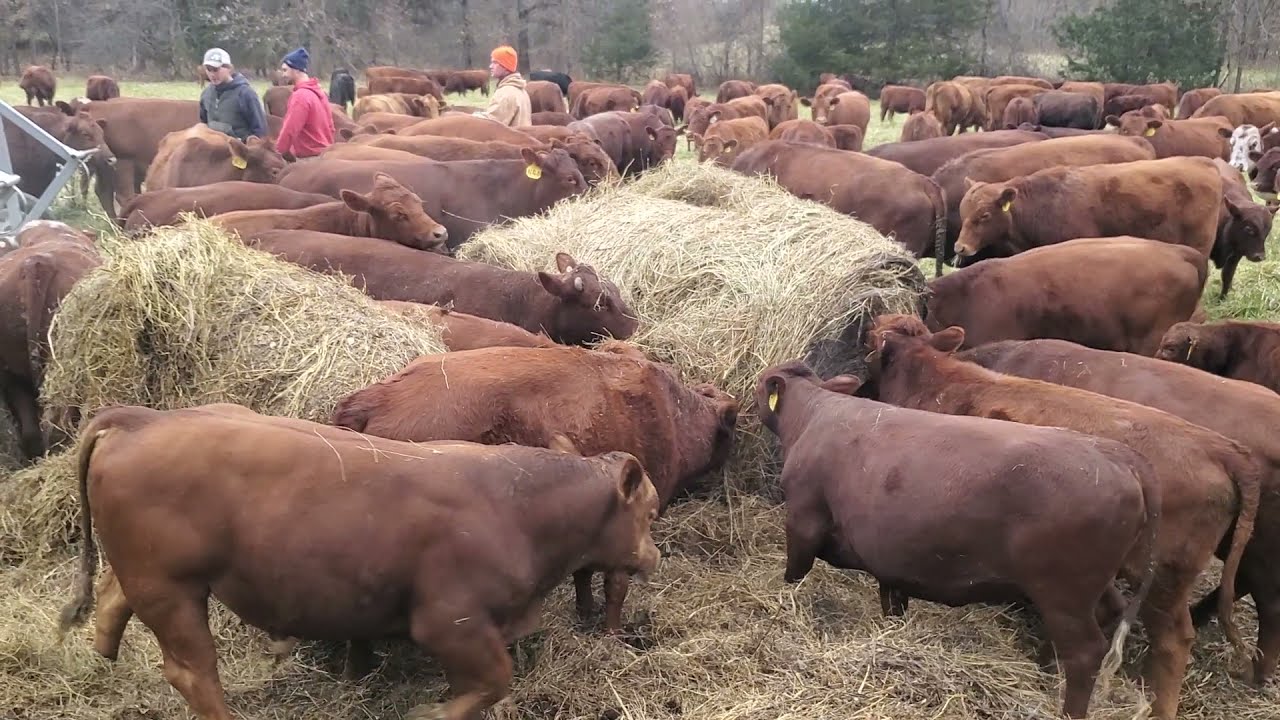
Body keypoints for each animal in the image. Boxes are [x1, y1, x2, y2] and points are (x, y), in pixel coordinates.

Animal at [60, 403, 661, 720]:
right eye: (651, 509)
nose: (653, 555)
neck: (514, 502)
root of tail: (142, 418)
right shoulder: (451, 620)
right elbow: (494, 679)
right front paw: (431, 712)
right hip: (172, 588)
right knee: (193, 671)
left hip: (147, 576)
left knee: (112, 593)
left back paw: (103, 652)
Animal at [332, 344, 739, 631]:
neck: (671, 413)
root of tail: (370, 400)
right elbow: (615, 586)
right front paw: (611, 633)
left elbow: (583, 574)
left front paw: (584, 614)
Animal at [756, 359, 1158, 720]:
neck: (813, 415)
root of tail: (1121, 457)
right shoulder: (890, 560)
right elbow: (892, 603)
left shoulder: (803, 518)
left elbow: (794, 574)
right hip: (1091, 585)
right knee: (1108, 611)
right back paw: (1043, 671)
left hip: (1063, 590)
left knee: (1085, 651)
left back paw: (1069, 709)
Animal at [1211, 158, 1276, 296]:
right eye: (1248, 229)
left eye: (1267, 231)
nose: (1260, 257)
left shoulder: (1236, 254)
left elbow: (1227, 275)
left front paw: (1223, 298)